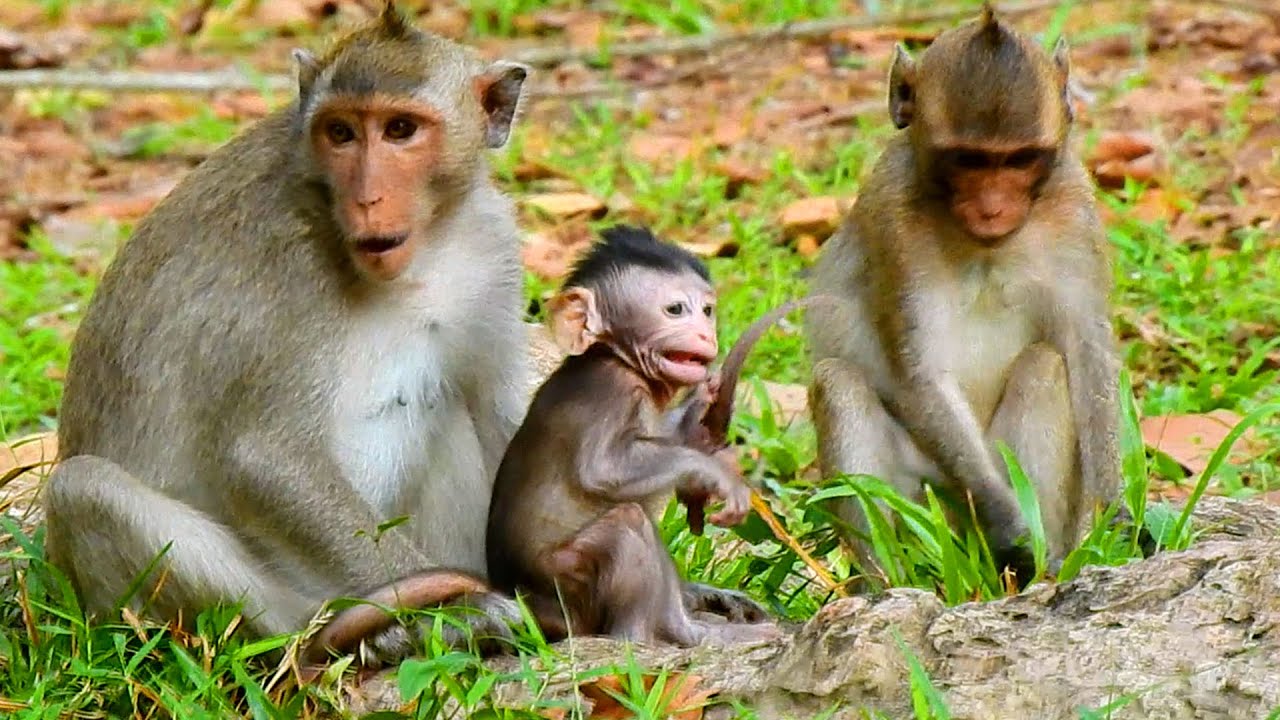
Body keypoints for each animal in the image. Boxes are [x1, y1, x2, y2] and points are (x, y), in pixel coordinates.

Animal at [42, 3, 535, 668]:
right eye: (341, 133)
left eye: (401, 129)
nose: (368, 198)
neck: (424, 251)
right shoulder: (287, 267)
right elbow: (267, 458)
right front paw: (459, 608)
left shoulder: (491, 245)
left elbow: (500, 415)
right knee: (85, 490)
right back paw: (361, 631)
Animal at [486, 225, 782, 646]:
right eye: (675, 310)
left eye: (707, 311)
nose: (705, 335)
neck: (617, 357)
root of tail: (536, 611)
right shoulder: (614, 391)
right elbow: (603, 470)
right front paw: (715, 473)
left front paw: (702, 422)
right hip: (570, 586)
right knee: (628, 521)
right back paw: (666, 634)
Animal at [804, 4, 1123, 584]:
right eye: (968, 160)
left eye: (1019, 160)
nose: (993, 208)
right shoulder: (893, 221)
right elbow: (920, 372)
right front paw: (1008, 523)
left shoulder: (1074, 208)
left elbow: (1088, 355)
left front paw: (1114, 517)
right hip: (931, 498)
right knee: (839, 383)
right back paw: (891, 584)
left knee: (1045, 367)